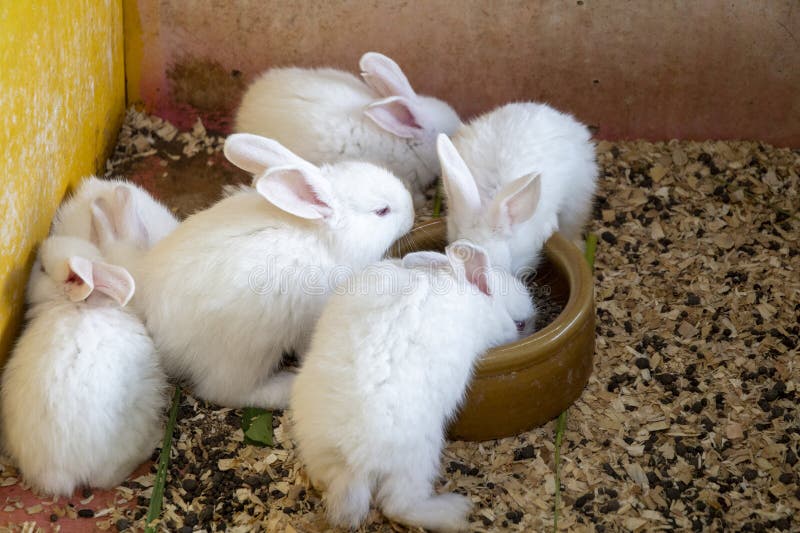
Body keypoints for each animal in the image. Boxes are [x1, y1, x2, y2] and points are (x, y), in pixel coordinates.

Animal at [125, 133, 414, 410]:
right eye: (382, 211)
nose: (412, 213)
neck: (319, 236)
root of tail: (152, 324)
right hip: (245, 353)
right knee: (227, 392)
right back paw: (285, 388)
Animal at [291, 240, 536, 532]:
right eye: (520, 323)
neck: (466, 293)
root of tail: (353, 464)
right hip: (419, 456)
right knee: (399, 506)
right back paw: (456, 511)